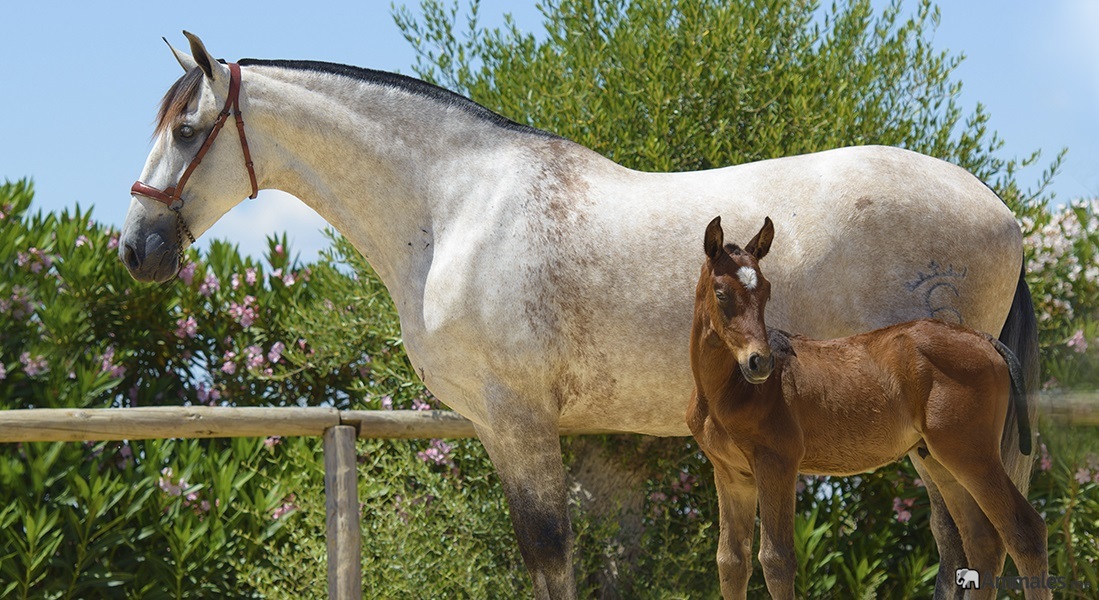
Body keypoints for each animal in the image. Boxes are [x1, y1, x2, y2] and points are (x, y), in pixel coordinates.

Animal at [686, 216, 1048, 600]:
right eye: (721, 293)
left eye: (767, 291)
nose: (761, 362)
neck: (725, 391)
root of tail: (984, 339)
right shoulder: (730, 474)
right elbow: (731, 562)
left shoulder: (777, 462)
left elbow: (776, 560)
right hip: (941, 460)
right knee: (984, 541)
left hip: (972, 453)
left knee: (1024, 531)